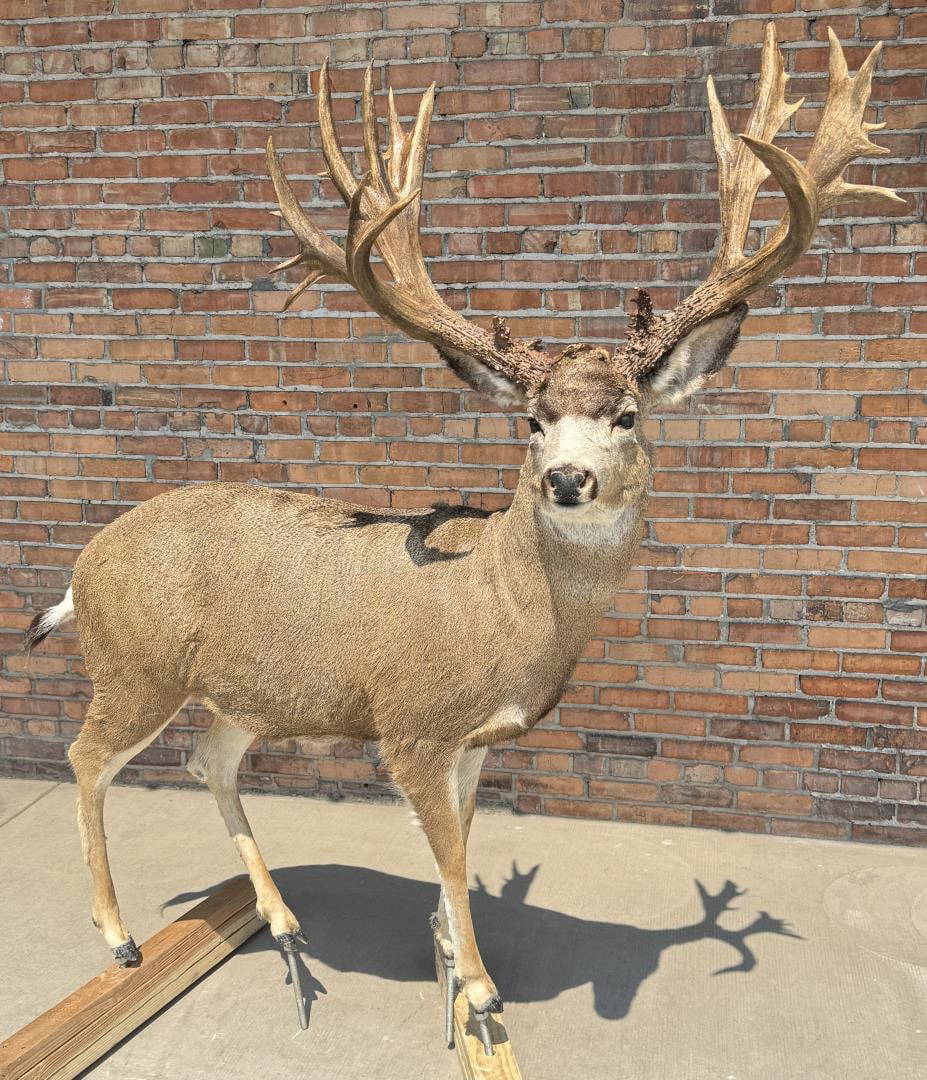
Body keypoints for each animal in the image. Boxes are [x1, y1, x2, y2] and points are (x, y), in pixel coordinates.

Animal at [24, 25, 900, 1055]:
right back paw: (120, 938)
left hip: (244, 690)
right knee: (86, 759)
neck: (500, 612)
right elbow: (444, 855)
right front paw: (479, 990)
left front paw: (449, 961)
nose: (566, 480)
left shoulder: (480, 738)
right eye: (530, 421)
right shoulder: (410, 726)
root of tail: (82, 566)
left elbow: (464, 847)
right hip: (136, 665)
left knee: (209, 760)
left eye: (629, 415)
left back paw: (283, 928)